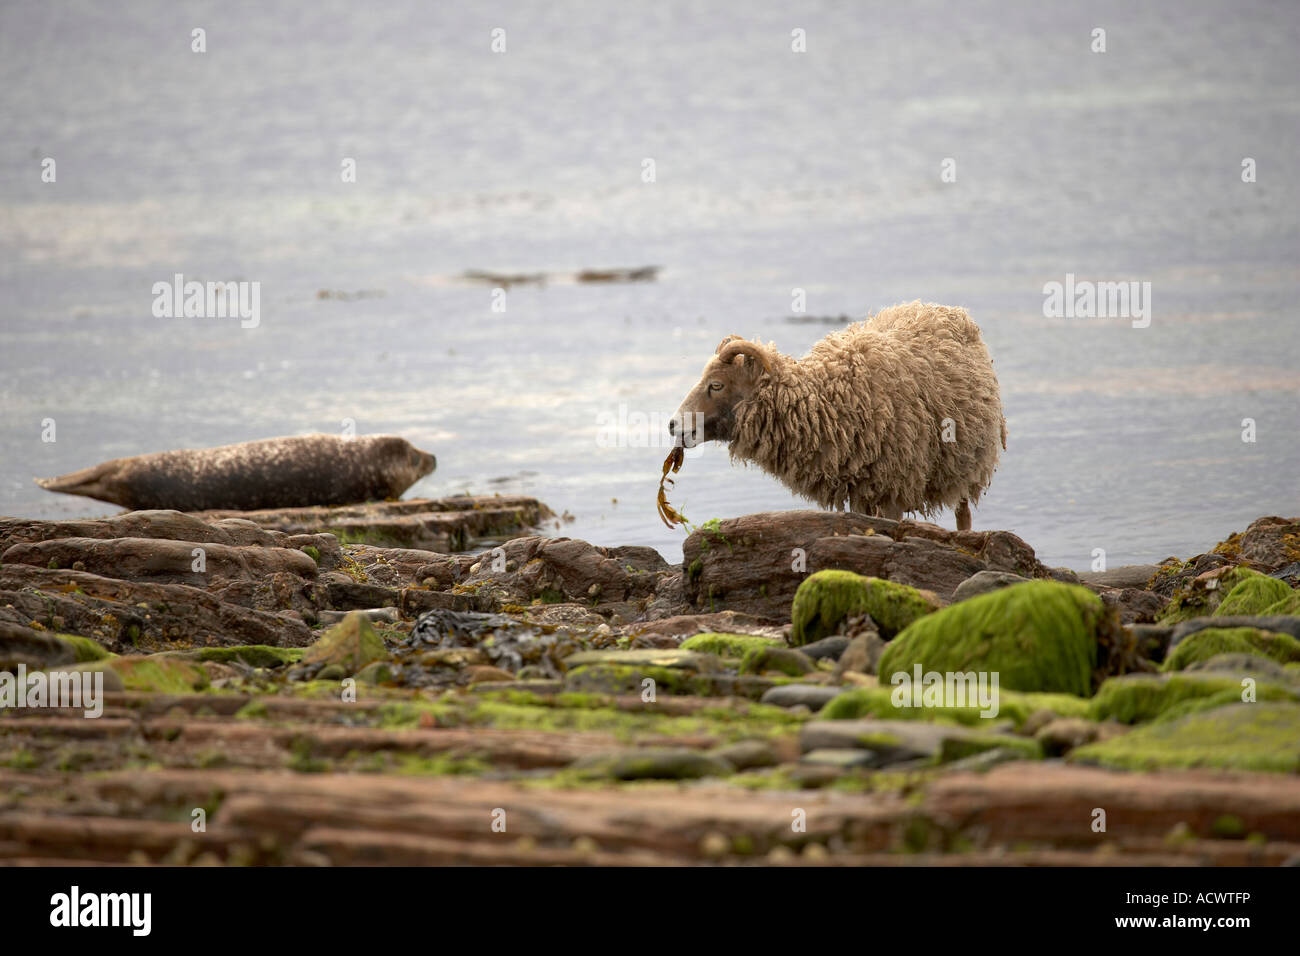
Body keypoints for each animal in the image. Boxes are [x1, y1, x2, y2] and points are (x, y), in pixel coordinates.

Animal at [667, 301, 1006, 531]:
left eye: (716, 385)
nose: (673, 425)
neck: (827, 397)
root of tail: (945, 309)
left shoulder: (895, 484)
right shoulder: (861, 488)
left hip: (967, 462)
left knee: (964, 515)